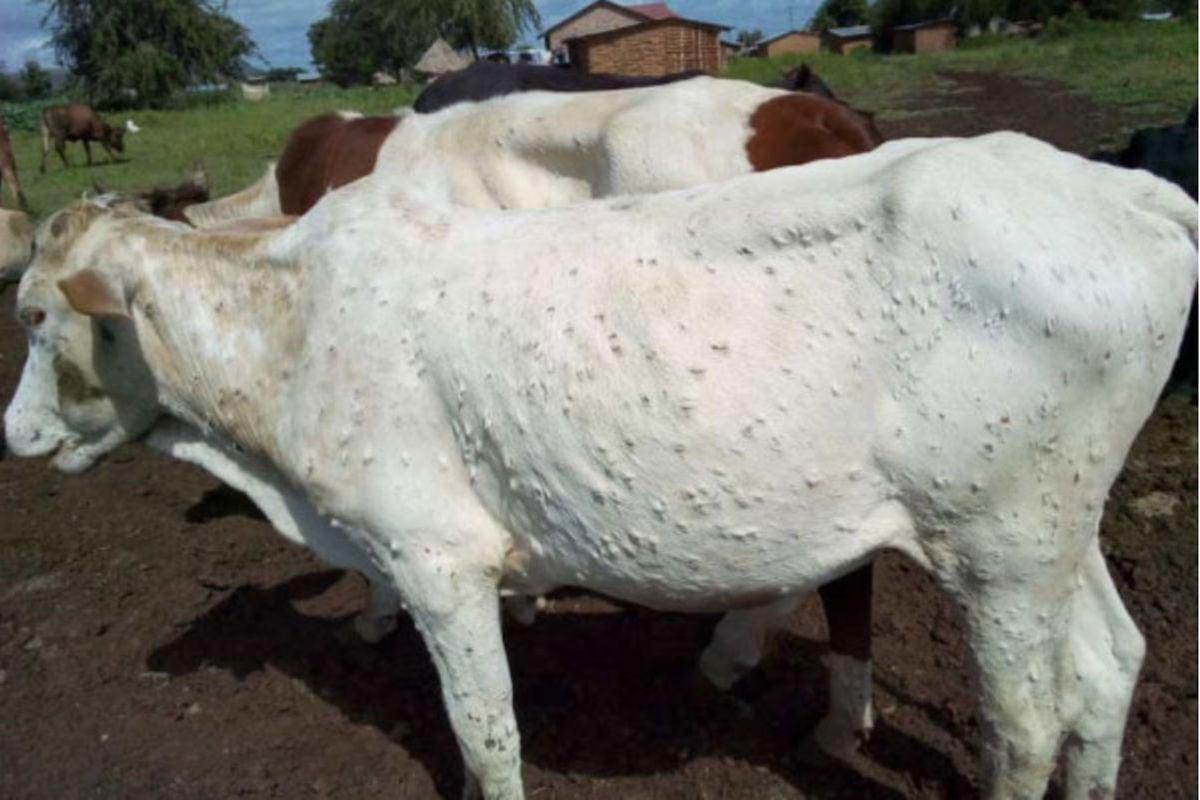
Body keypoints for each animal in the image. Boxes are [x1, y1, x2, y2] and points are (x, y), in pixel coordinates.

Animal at [6, 132, 1196, 799]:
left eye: (34, 318)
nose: (15, 436)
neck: (293, 321)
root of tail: (1133, 191)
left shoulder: (437, 557)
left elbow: (486, 733)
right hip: (1055, 525)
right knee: (1109, 665)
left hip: (998, 546)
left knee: (1025, 727)